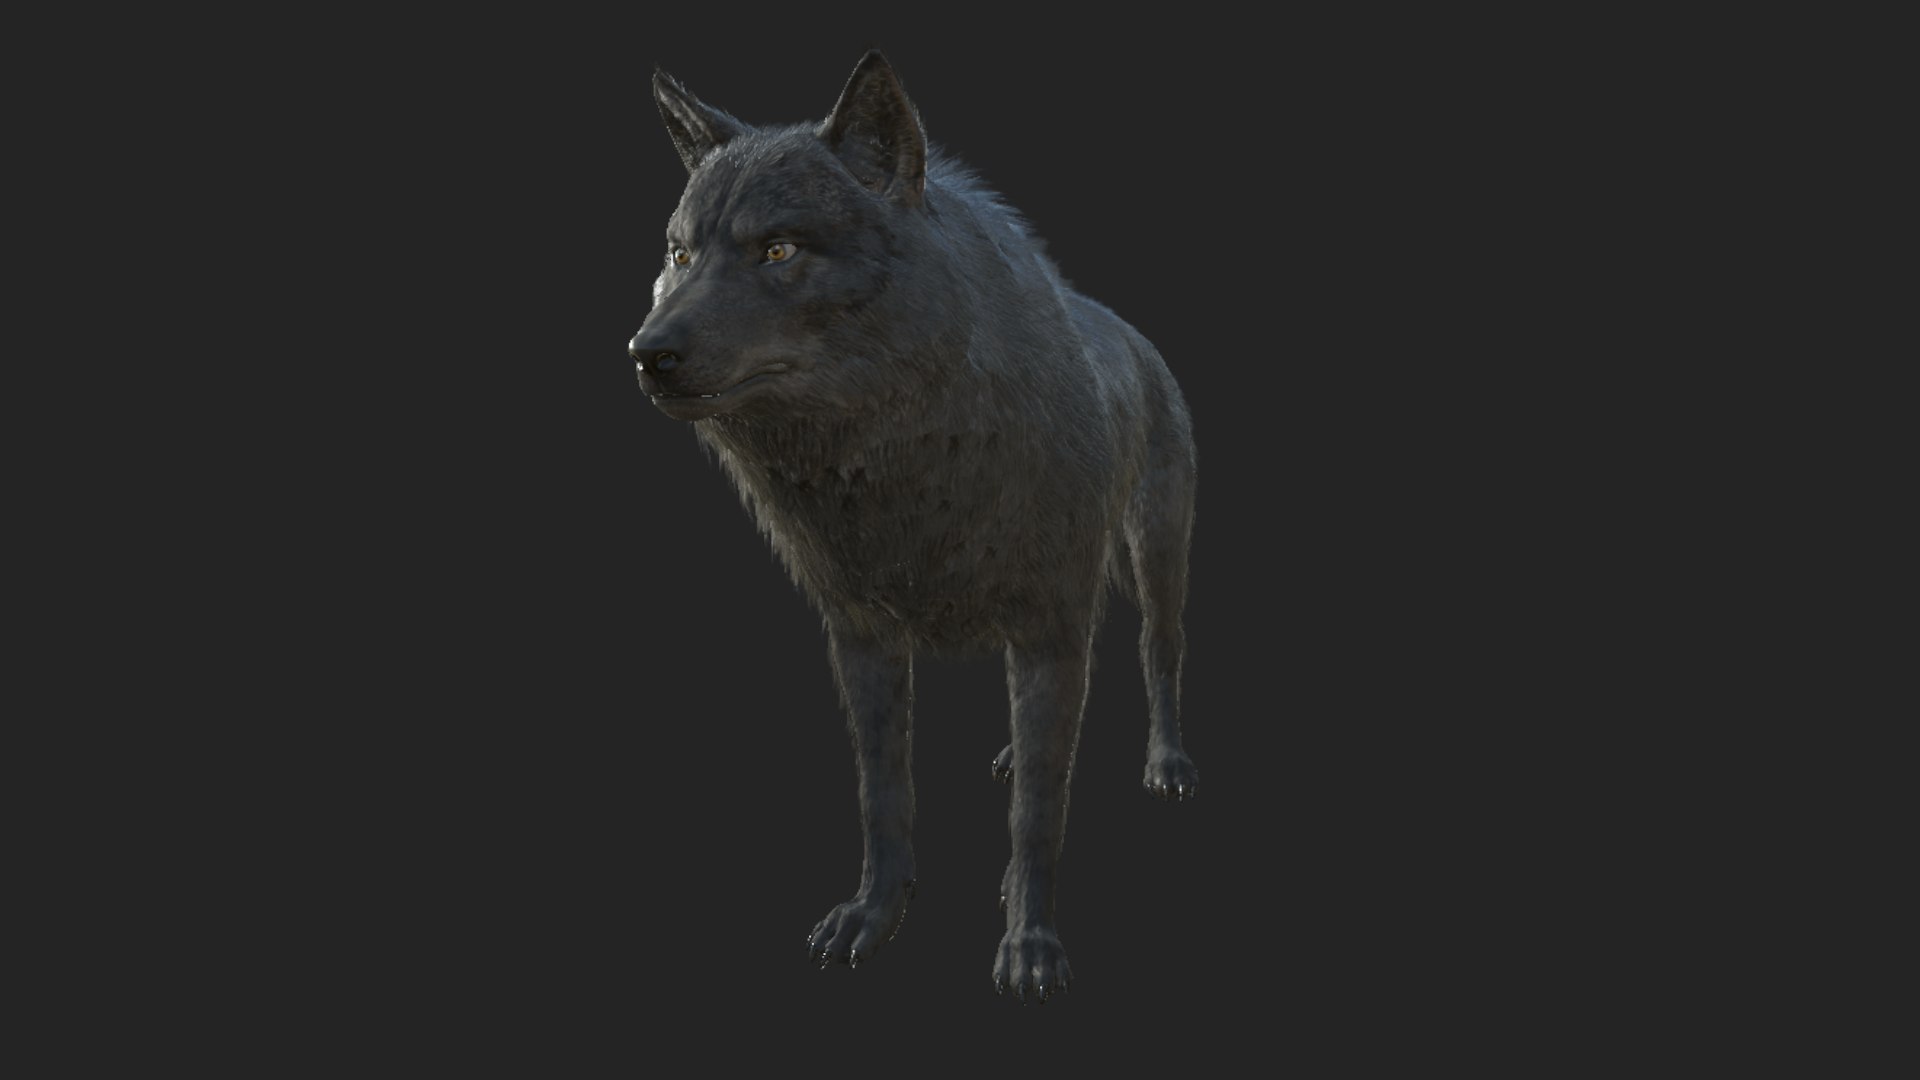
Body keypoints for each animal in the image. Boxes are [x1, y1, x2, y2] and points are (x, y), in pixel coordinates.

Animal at [629, 50, 1198, 1002]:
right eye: (679, 253)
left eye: (777, 249)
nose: (645, 353)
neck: (911, 456)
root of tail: (1139, 339)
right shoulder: (861, 638)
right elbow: (884, 794)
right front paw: (872, 916)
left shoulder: (1049, 628)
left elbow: (1039, 812)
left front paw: (1030, 944)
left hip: (1157, 560)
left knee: (1158, 652)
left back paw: (1167, 764)